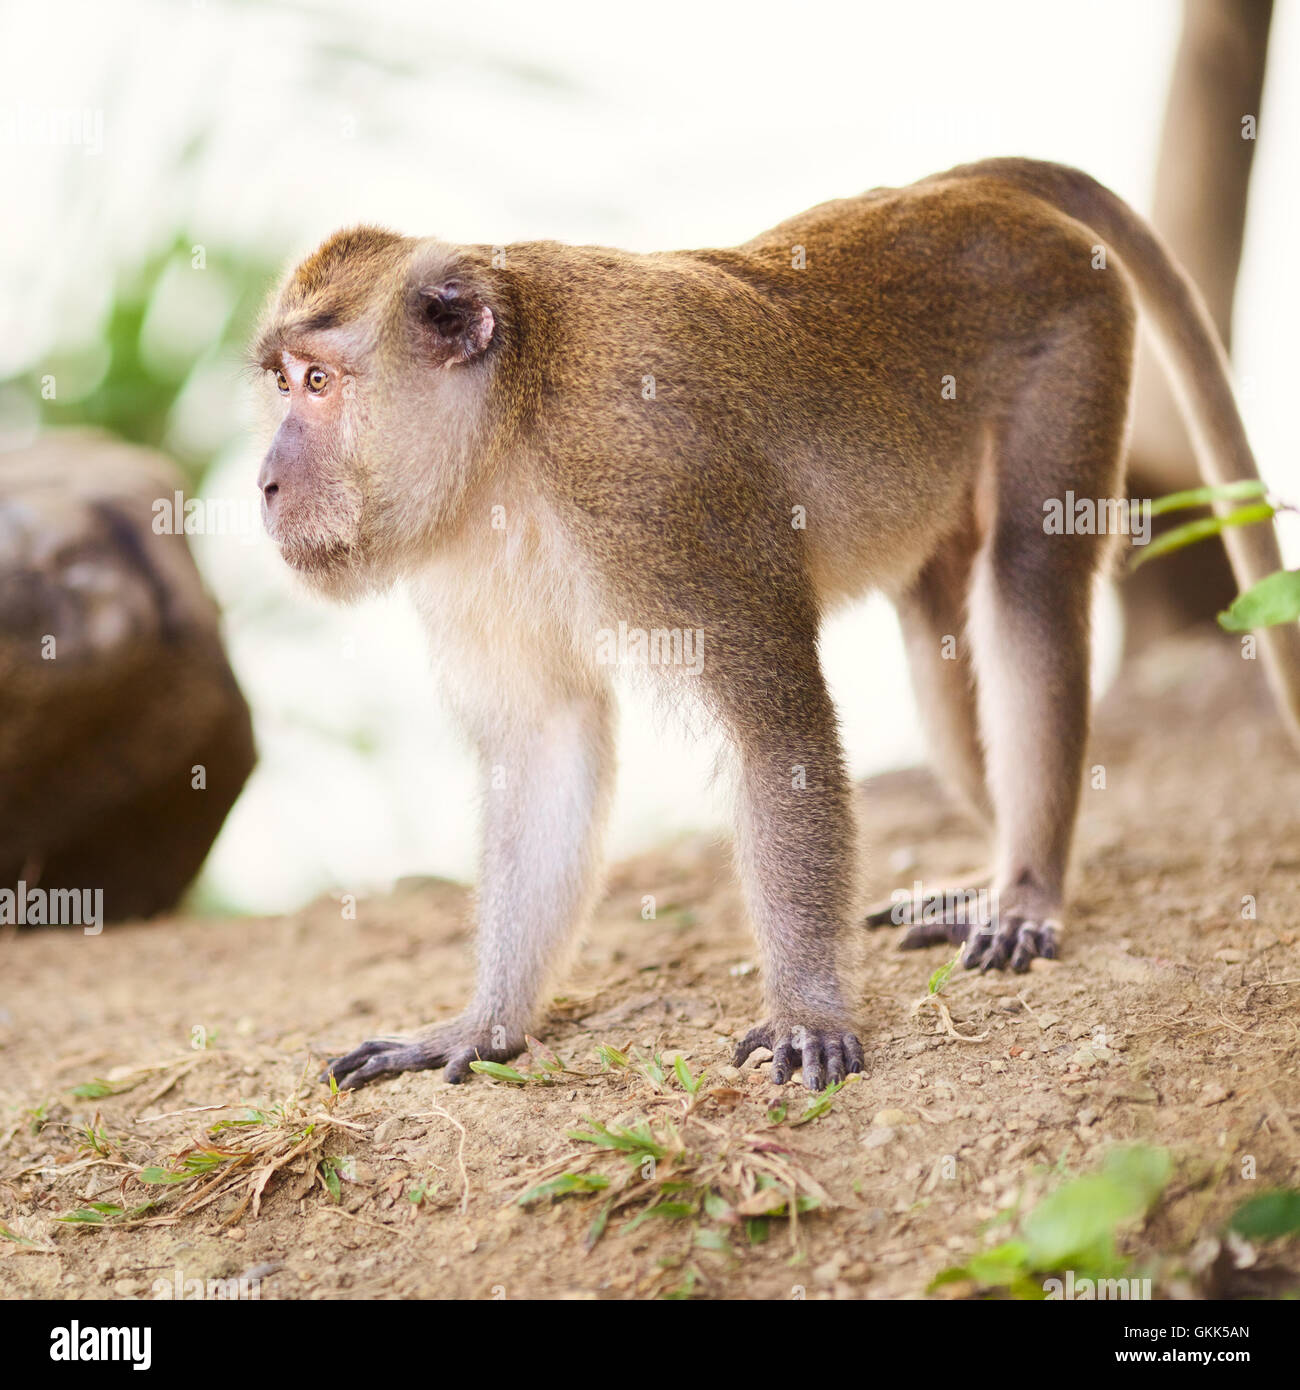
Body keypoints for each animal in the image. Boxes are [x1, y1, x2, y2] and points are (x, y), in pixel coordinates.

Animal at [252, 157, 1300, 1093]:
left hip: (1073, 329)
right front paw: (484, 1024)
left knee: (1027, 584)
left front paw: (807, 1013)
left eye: (318, 381)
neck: (513, 425)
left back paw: (1028, 889)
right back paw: (991, 875)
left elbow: (778, 730)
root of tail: (959, 188)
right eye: (283, 382)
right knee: (937, 624)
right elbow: (547, 741)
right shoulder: (467, 564)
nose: (263, 481)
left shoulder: (657, 483)